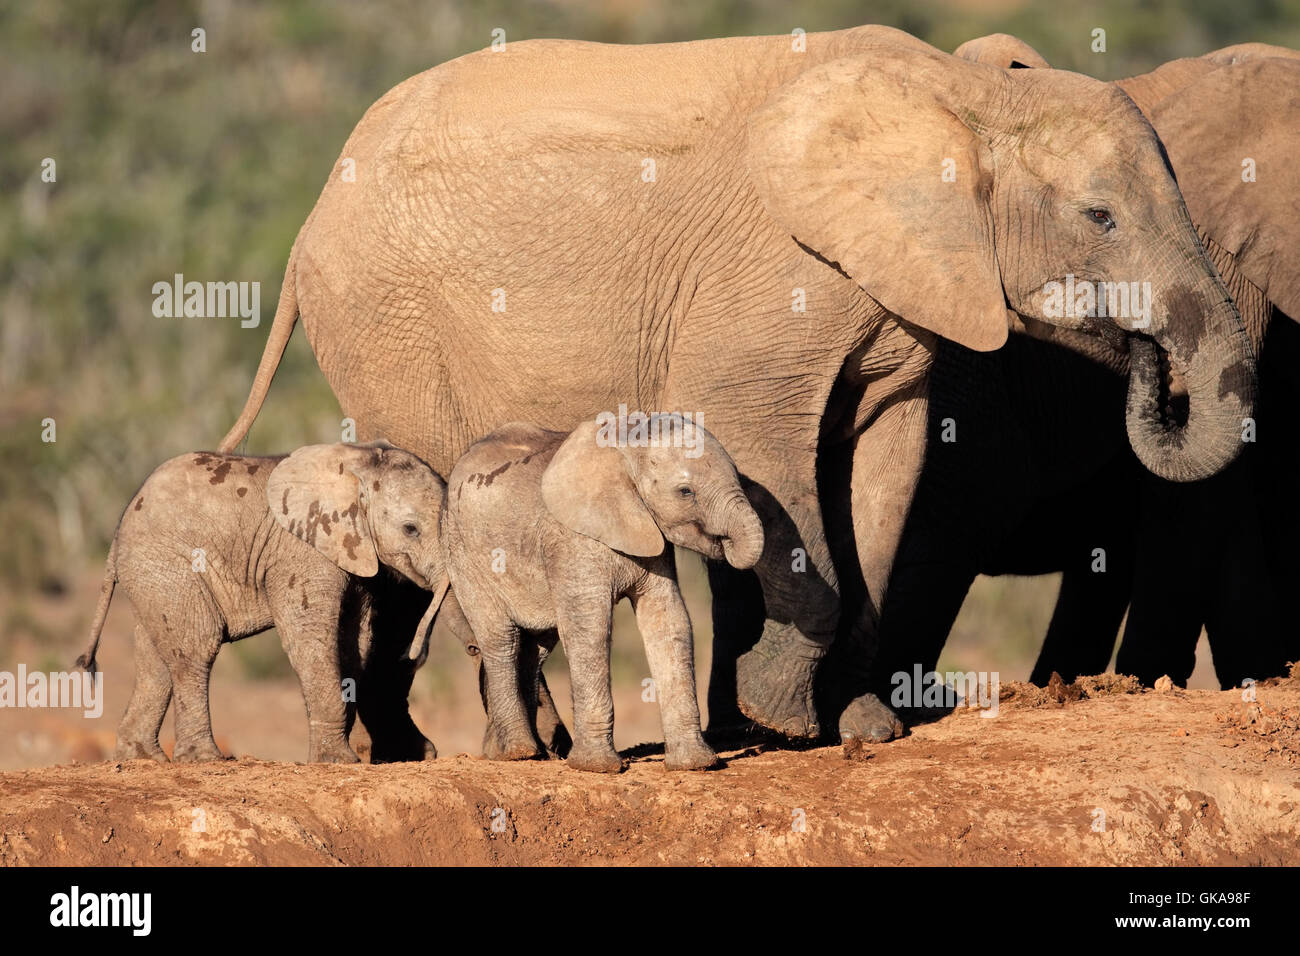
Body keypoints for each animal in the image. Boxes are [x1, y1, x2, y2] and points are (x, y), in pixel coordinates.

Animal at [76, 442, 450, 764]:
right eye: (411, 529)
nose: (413, 655)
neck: (359, 460)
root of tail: (119, 529)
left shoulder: (354, 555)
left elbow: (352, 644)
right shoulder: (300, 552)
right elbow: (309, 638)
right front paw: (337, 761)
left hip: (152, 576)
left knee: (156, 658)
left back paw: (141, 758)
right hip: (166, 563)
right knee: (197, 646)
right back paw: (204, 759)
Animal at [426, 414, 764, 772]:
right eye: (686, 492)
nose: (723, 545)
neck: (627, 445)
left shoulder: (652, 539)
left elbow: (669, 620)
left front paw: (696, 764)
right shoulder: (572, 540)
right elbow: (590, 628)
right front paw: (598, 767)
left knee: (536, 647)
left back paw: (528, 752)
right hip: (464, 555)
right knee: (502, 640)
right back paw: (517, 753)